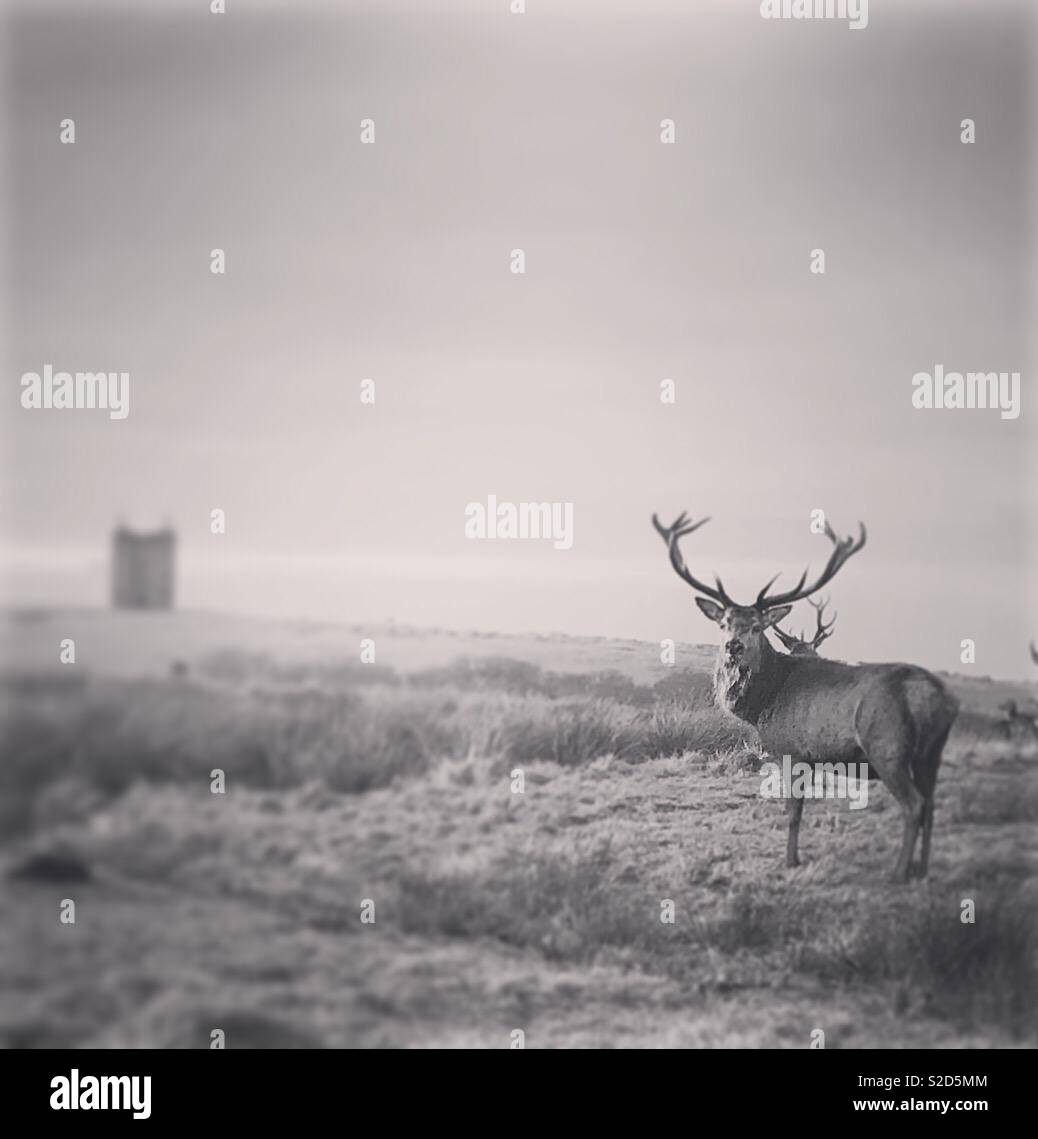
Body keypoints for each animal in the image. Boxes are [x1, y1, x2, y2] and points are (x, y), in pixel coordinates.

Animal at [652, 510, 960, 882]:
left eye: (757, 625)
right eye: (723, 623)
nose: (733, 646)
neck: (763, 703)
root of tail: (938, 697)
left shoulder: (792, 750)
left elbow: (793, 810)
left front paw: (791, 860)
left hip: (888, 747)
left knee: (914, 804)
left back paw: (898, 873)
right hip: (931, 754)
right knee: (931, 804)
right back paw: (923, 869)